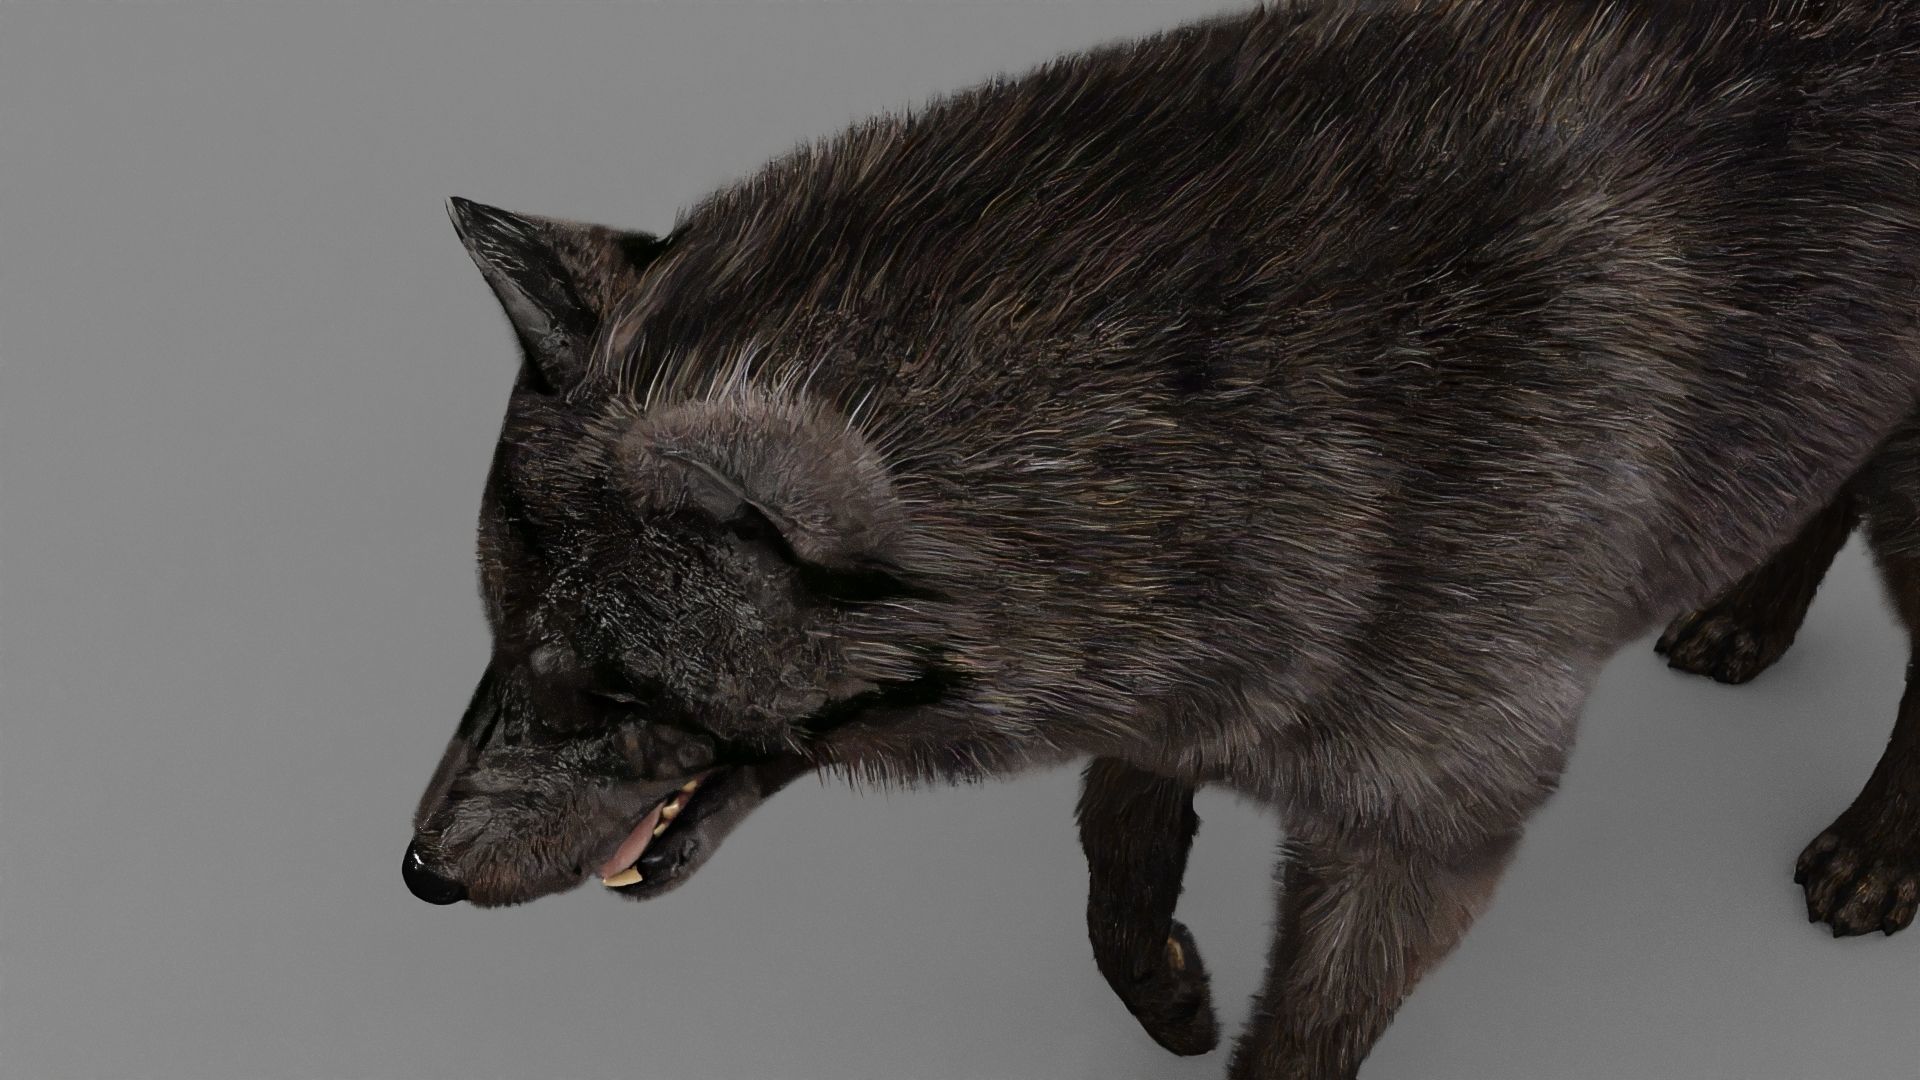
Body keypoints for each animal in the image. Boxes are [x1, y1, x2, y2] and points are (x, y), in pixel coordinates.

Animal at [402, 1, 1920, 1075]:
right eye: (499, 642)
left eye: (612, 695)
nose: (418, 871)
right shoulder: (1175, 680)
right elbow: (1112, 845)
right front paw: (1167, 990)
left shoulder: (1433, 823)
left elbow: (1299, 1032)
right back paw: (1744, 621)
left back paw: (1874, 853)